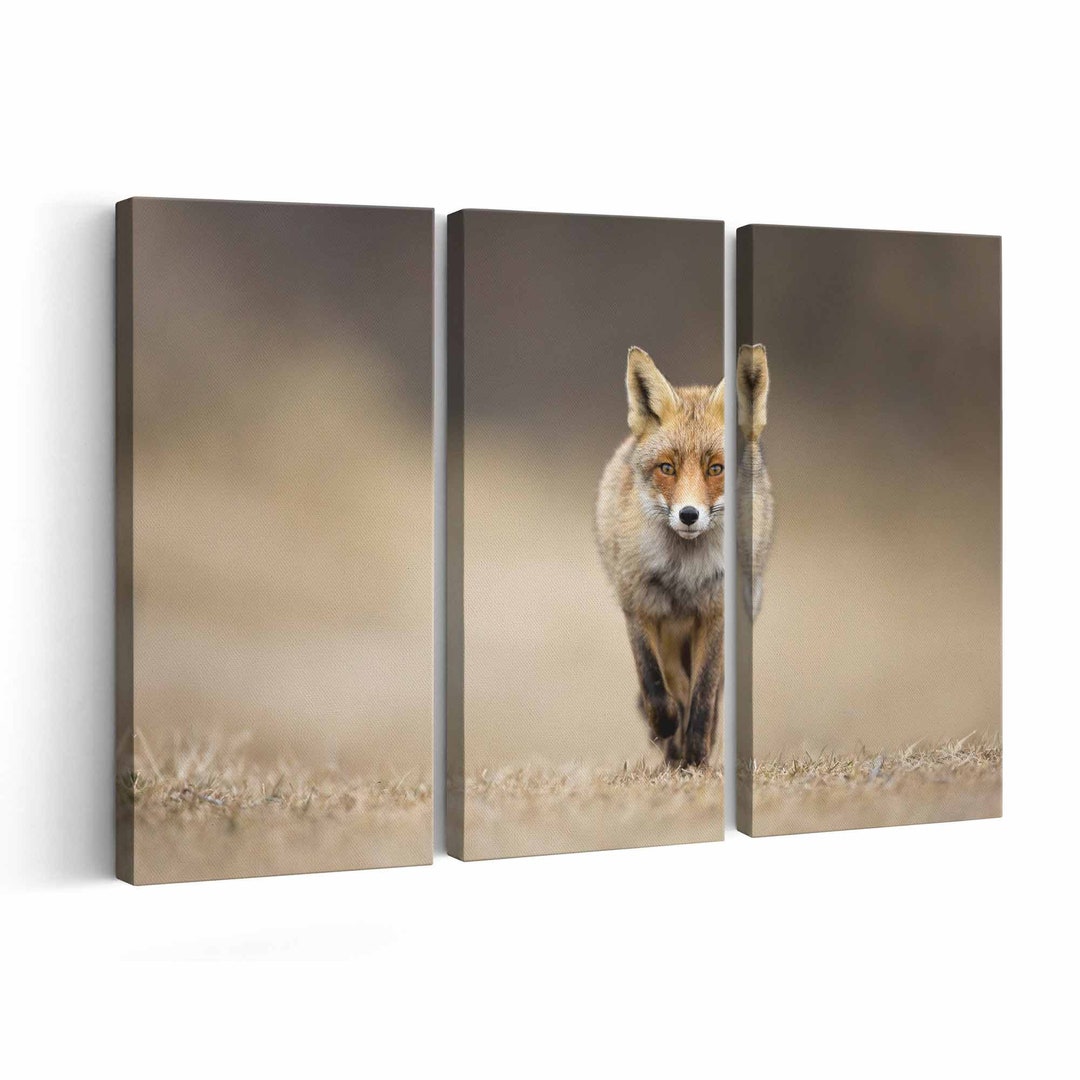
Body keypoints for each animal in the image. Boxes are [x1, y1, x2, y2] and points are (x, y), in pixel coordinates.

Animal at [595, 344, 772, 767]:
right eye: (667, 468)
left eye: (716, 469)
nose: (689, 515)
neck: (684, 573)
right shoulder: (640, 607)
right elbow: (655, 681)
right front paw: (665, 726)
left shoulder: (716, 612)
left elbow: (704, 693)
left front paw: (696, 753)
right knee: (672, 680)